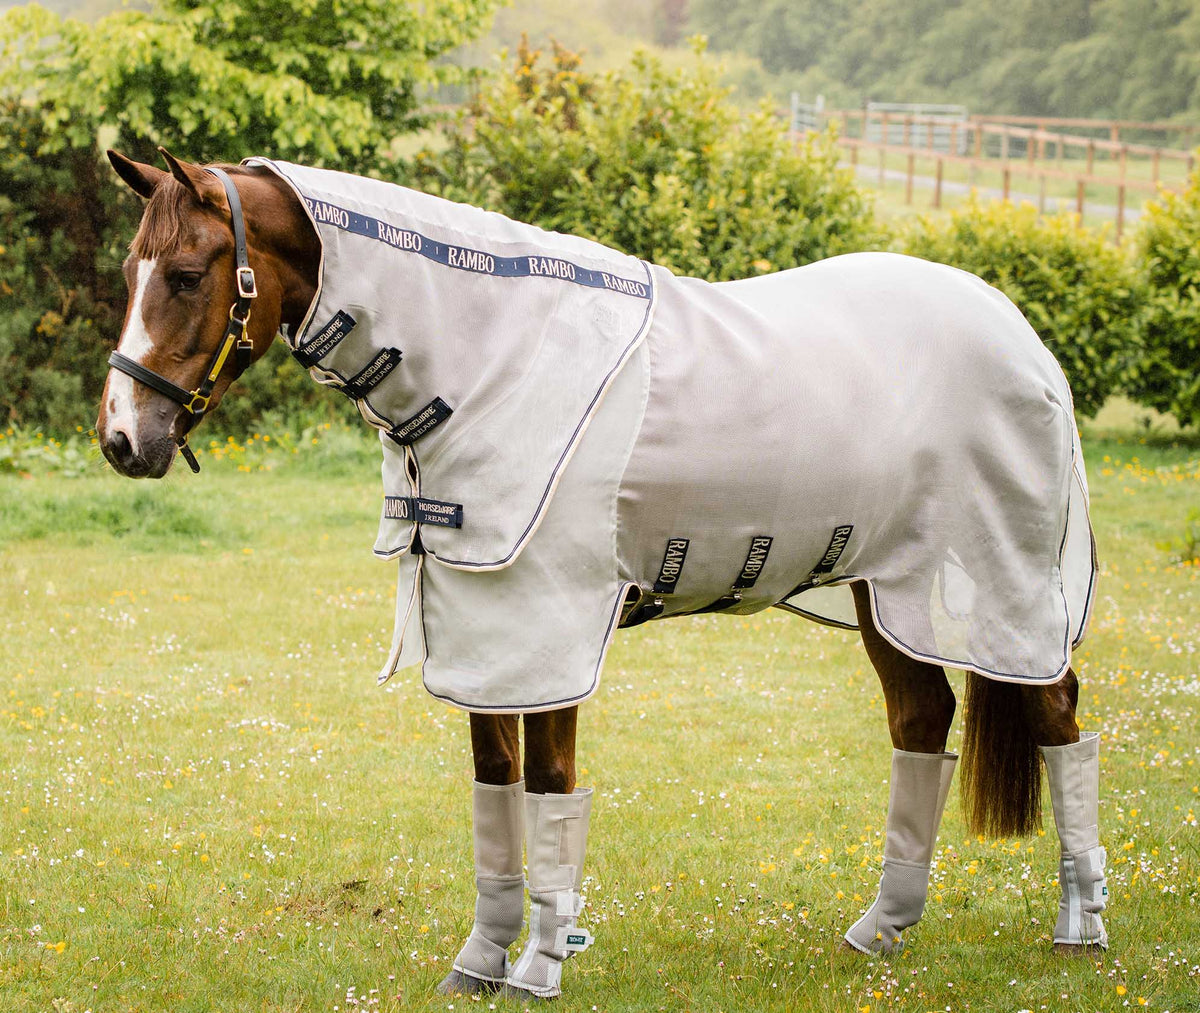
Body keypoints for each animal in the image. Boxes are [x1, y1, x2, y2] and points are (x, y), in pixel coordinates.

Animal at [96, 148, 1108, 1000]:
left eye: (186, 275)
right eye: (132, 274)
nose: (121, 439)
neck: (491, 360)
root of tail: (1021, 336)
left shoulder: (552, 628)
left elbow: (550, 787)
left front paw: (539, 968)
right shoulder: (486, 631)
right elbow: (495, 784)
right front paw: (480, 961)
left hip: (1008, 580)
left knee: (1058, 717)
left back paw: (1079, 931)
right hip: (883, 589)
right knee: (923, 721)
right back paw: (880, 929)